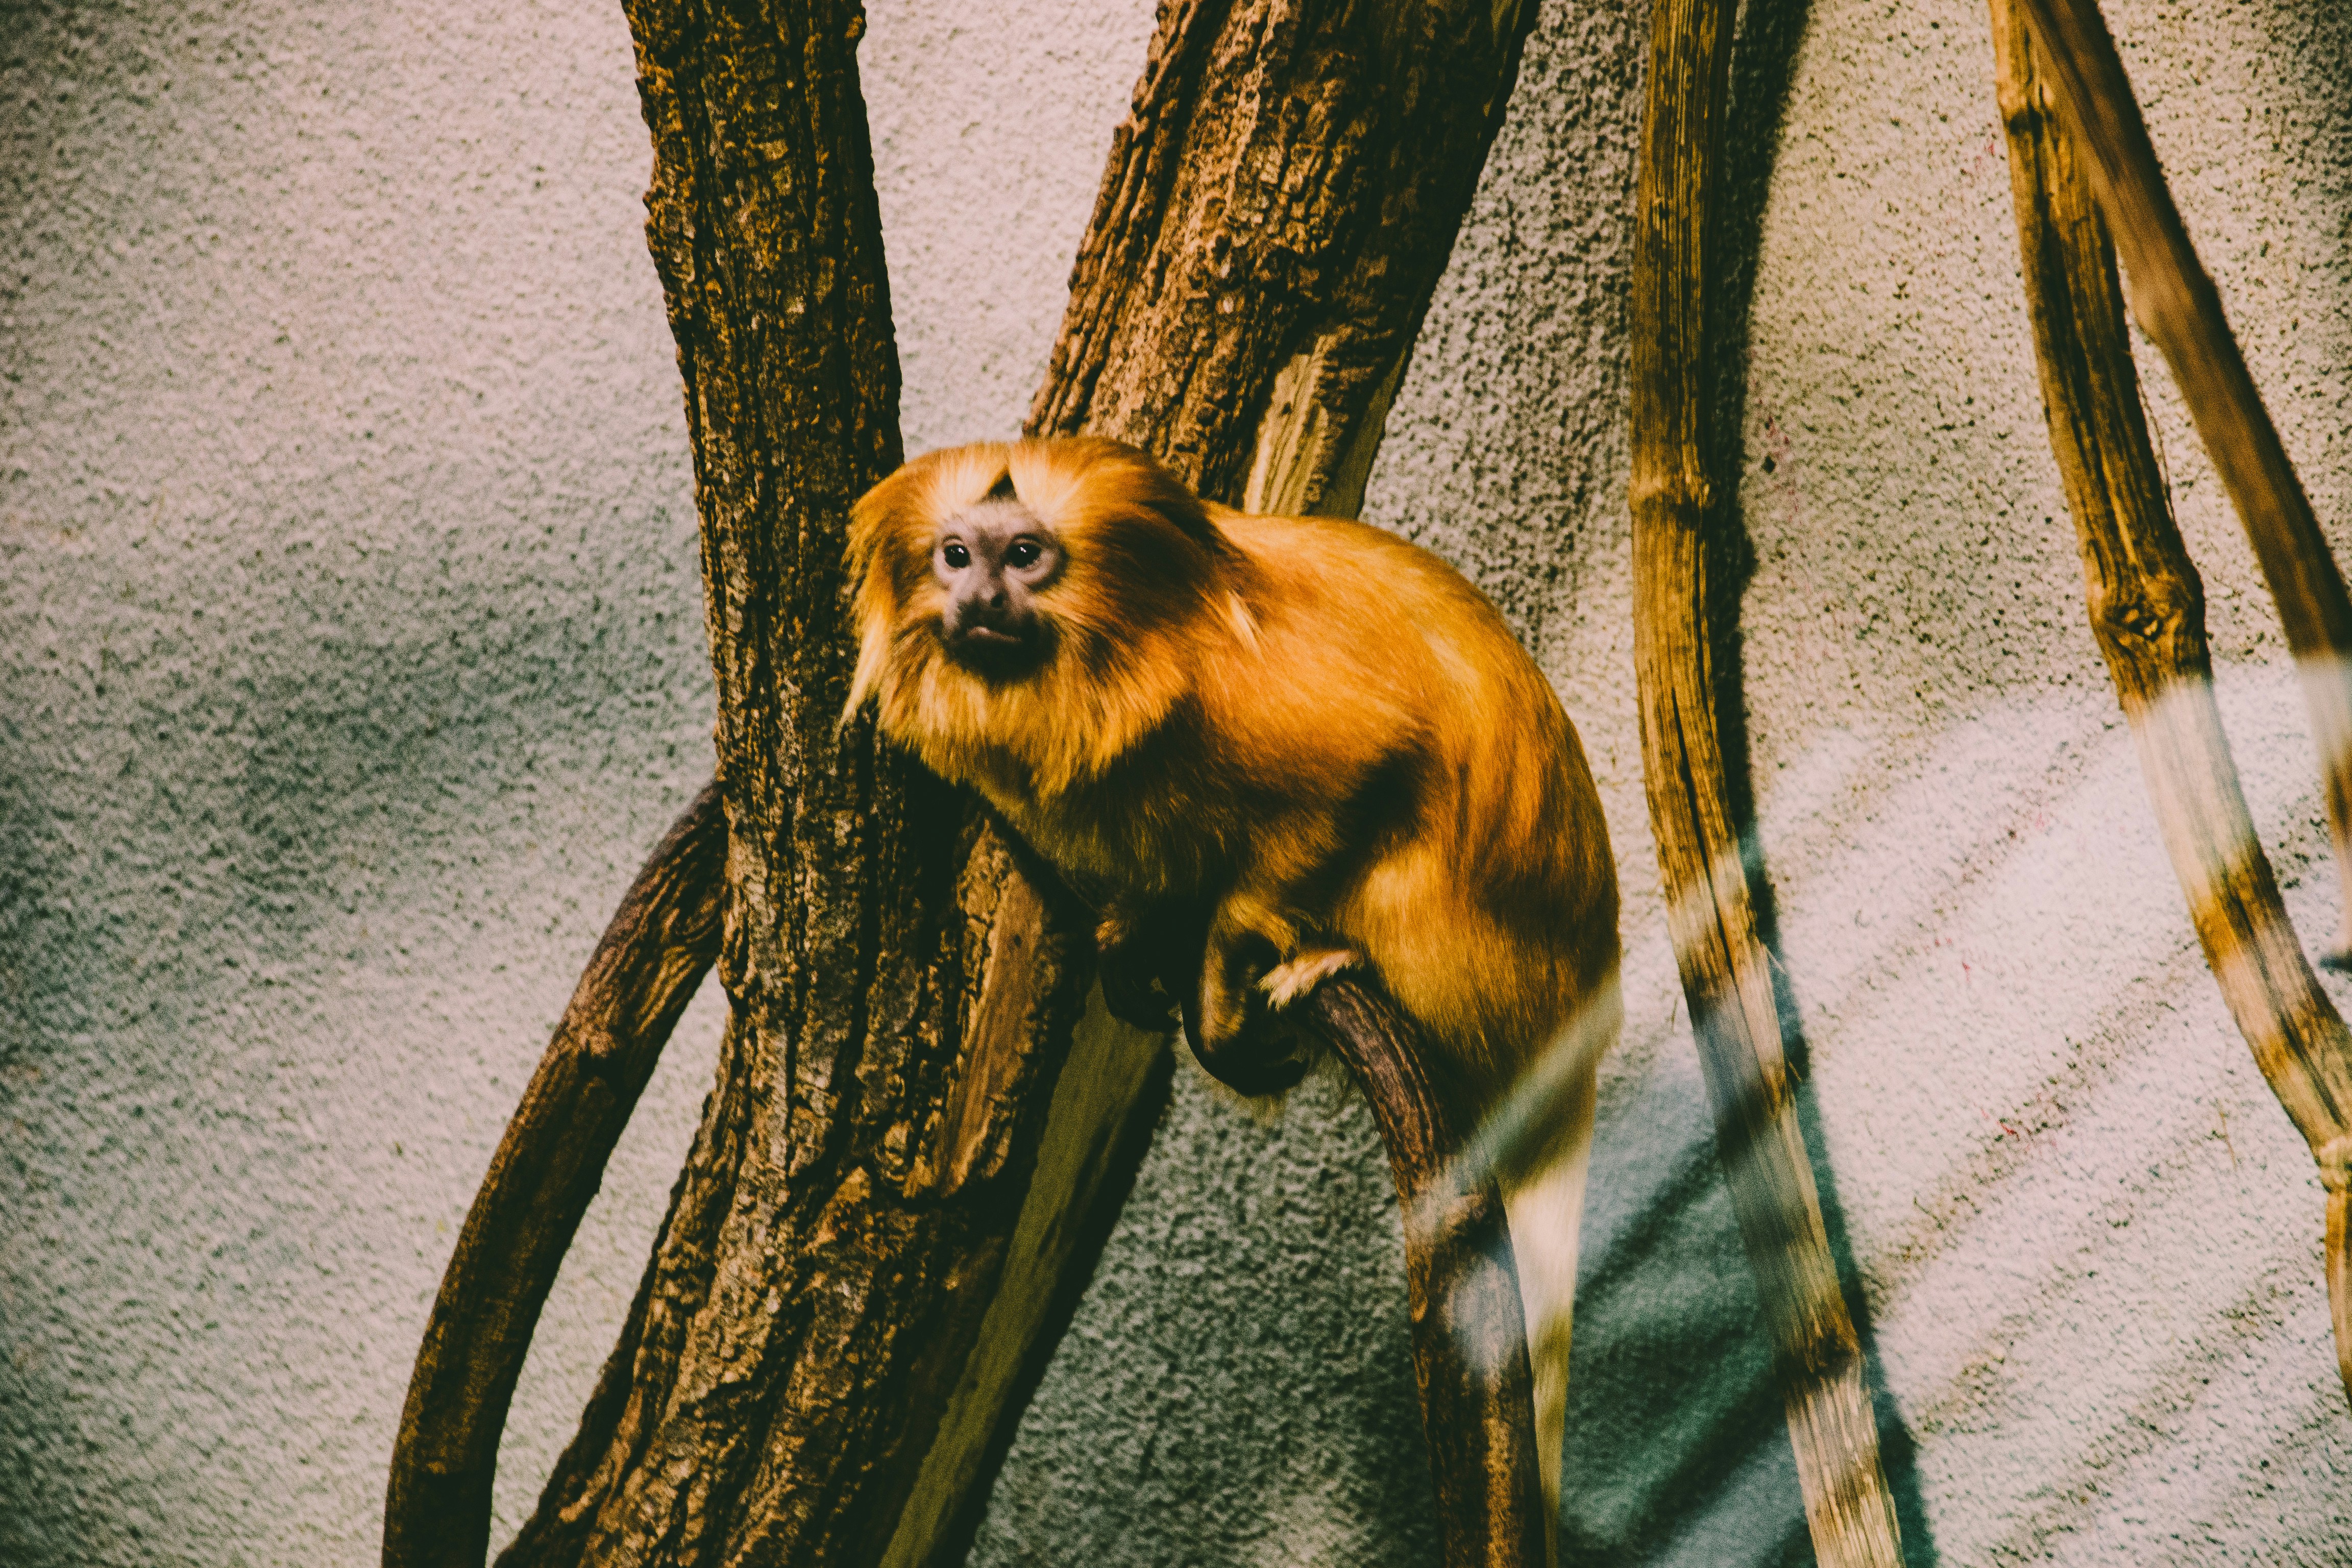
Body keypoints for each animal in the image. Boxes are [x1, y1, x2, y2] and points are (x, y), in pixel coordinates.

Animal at [845, 435, 1620, 1541]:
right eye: (955, 554)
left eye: (1026, 555)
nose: (981, 597)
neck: (1109, 658)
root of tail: (1578, 1017)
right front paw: (1133, 931)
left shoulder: (1244, 703)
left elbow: (1365, 761)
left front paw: (1222, 967)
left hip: (1477, 957)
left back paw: (1334, 960)